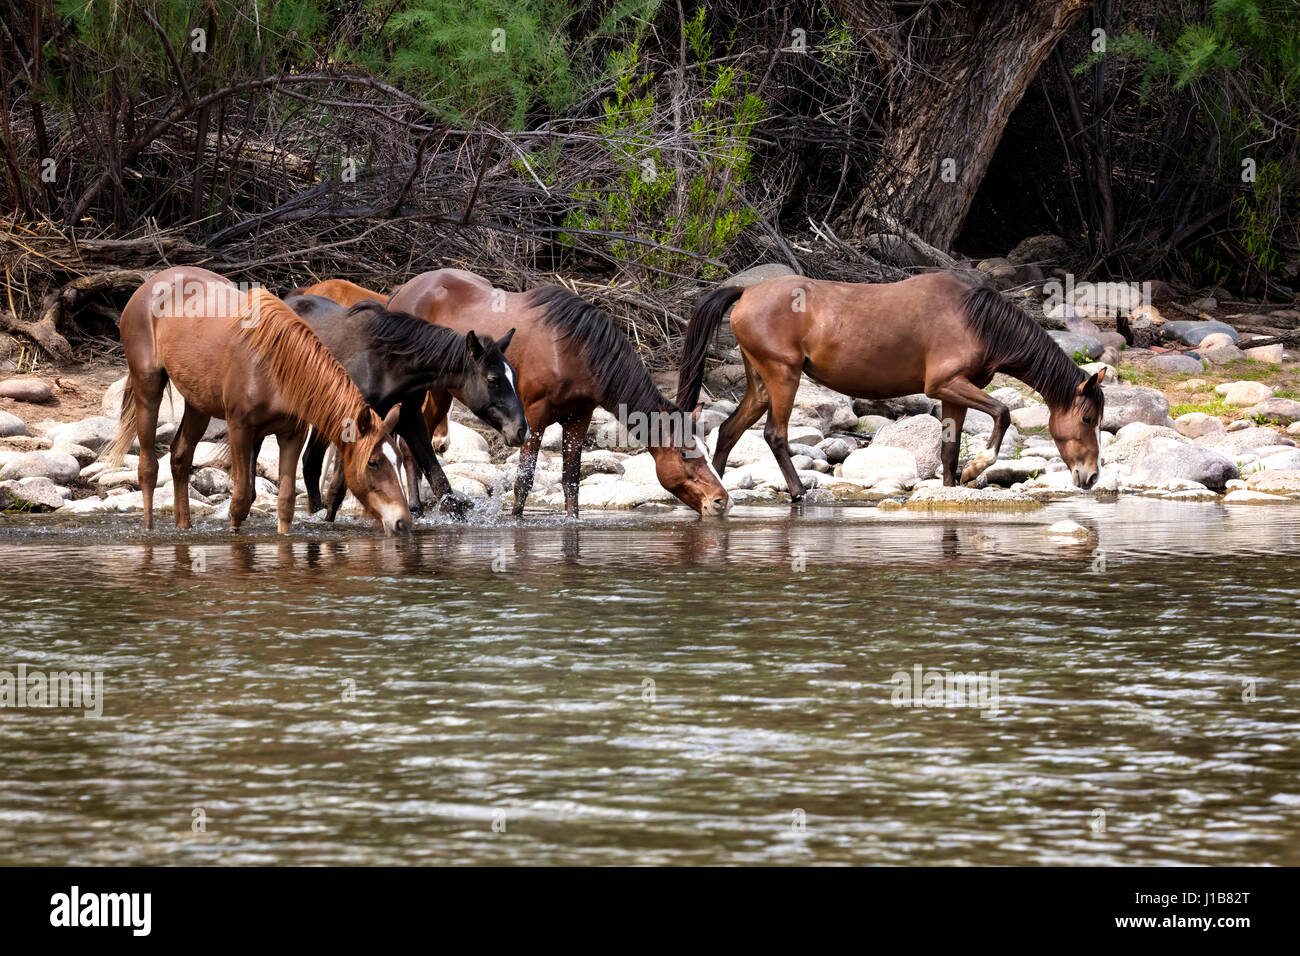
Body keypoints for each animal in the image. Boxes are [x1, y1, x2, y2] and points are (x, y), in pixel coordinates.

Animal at [105, 266, 411, 535]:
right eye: (373, 463)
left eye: (398, 460)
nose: (402, 522)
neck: (277, 367)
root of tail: (148, 287)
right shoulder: (240, 429)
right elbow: (240, 501)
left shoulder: (292, 435)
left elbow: (286, 503)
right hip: (148, 386)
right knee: (148, 466)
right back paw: (148, 529)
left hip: (197, 403)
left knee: (180, 457)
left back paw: (184, 526)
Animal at [283, 294, 528, 519]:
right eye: (492, 379)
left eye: (515, 377)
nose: (521, 430)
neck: (389, 366)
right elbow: (338, 488)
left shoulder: (411, 419)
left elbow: (440, 482)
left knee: (311, 463)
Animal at [387, 269, 730, 518]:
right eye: (685, 454)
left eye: (708, 450)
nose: (720, 500)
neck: (575, 353)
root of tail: (398, 294)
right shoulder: (533, 418)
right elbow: (523, 480)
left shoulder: (579, 418)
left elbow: (571, 480)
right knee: (410, 442)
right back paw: (416, 507)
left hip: (441, 392)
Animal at [676, 273, 1105, 498]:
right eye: (1087, 419)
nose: (1092, 476)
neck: (977, 321)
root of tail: (747, 291)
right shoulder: (945, 384)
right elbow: (1002, 412)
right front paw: (975, 469)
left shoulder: (954, 392)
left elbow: (949, 451)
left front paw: (952, 484)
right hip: (784, 376)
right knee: (775, 435)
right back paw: (798, 493)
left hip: (762, 383)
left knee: (729, 431)